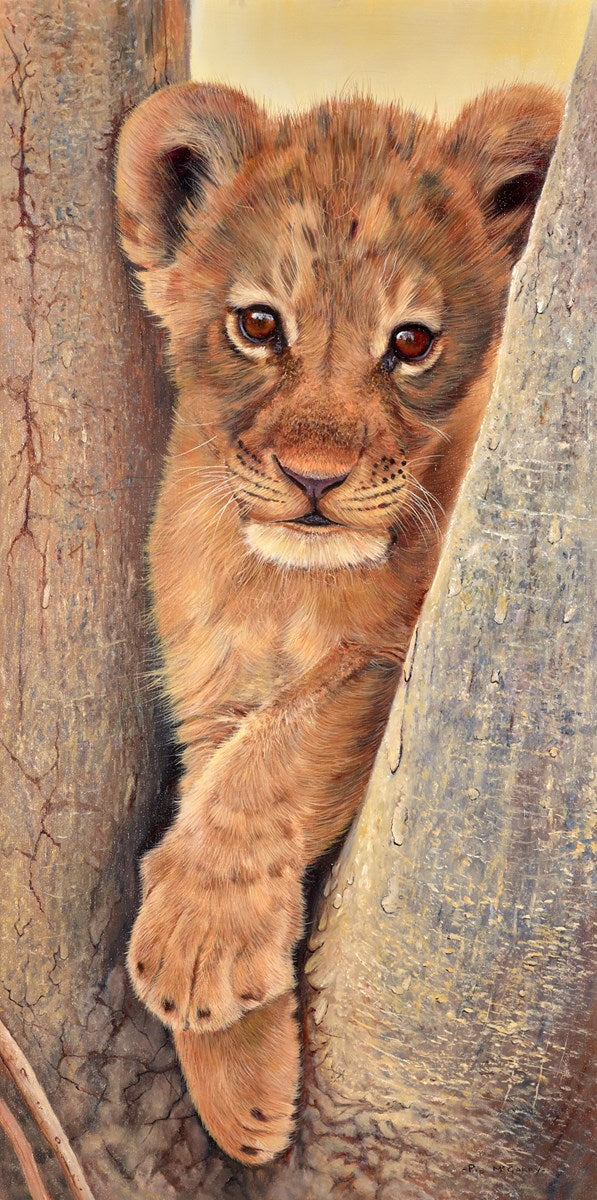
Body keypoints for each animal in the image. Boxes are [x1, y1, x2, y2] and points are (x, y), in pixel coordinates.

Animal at [115, 81, 561, 1164]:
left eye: (411, 343)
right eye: (258, 325)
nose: (313, 479)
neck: (287, 590)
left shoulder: (406, 652)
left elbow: (283, 745)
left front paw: (193, 951)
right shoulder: (214, 694)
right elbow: (224, 775)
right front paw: (239, 1089)